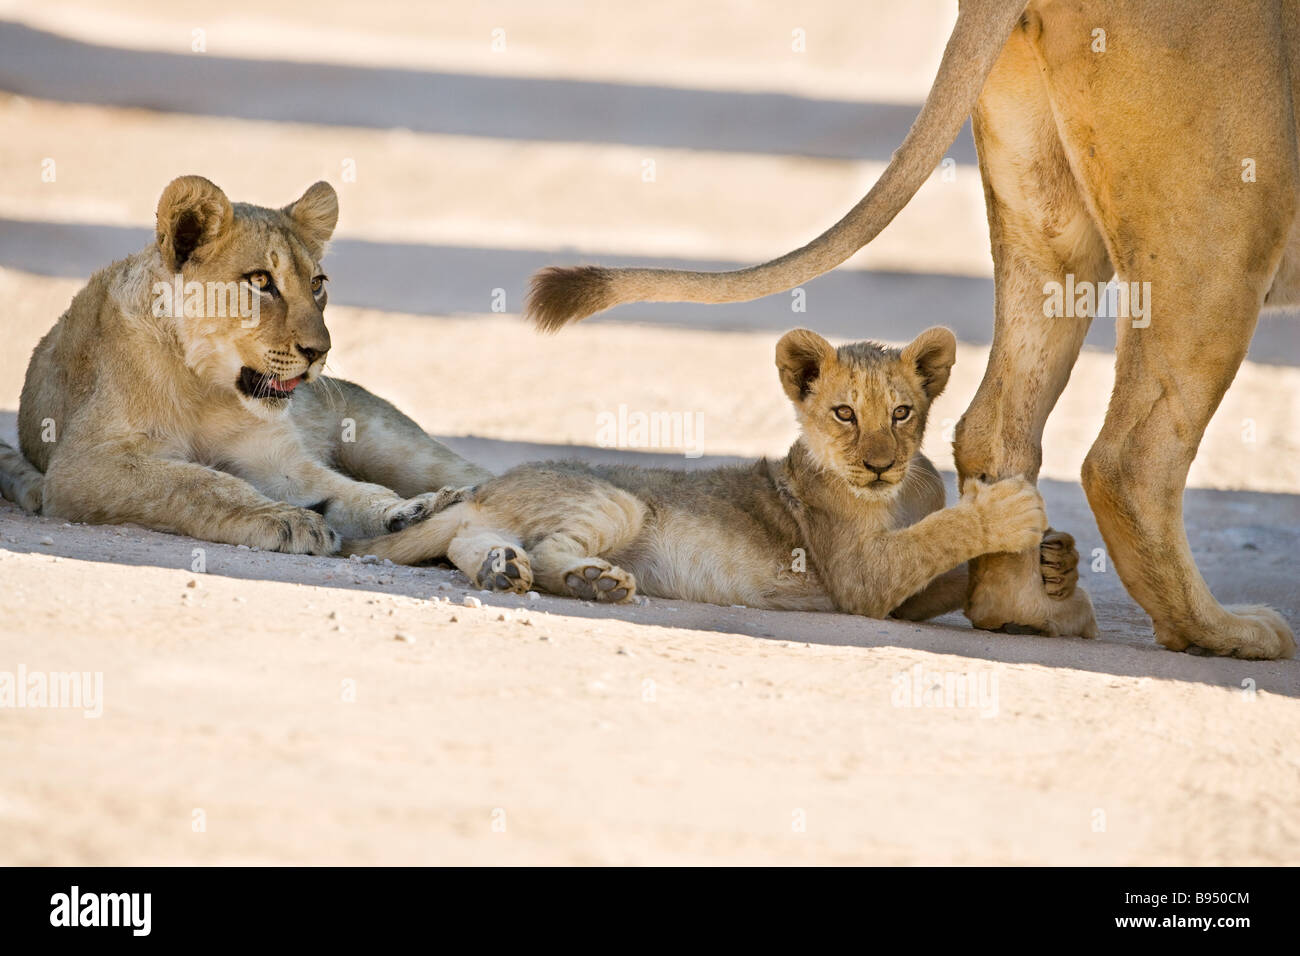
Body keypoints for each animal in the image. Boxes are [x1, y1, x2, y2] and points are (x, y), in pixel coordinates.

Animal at [0, 175, 490, 552]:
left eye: (316, 283)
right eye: (260, 281)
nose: (320, 351)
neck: (204, 386)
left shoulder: (270, 455)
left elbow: (346, 489)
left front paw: (407, 509)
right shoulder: (82, 464)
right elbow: (199, 482)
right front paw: (291, 521)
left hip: (396, 446)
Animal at [522, 0, 1299, 659]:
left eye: (901, 413)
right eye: (843, 413)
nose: (877, 463)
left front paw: (1052, 561)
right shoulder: (858, 573)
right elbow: (919, 550)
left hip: (1053, 219)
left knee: (998, 426)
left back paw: (1034, 607)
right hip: (1225, 220)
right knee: (1127, 458)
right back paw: (1223, 631)